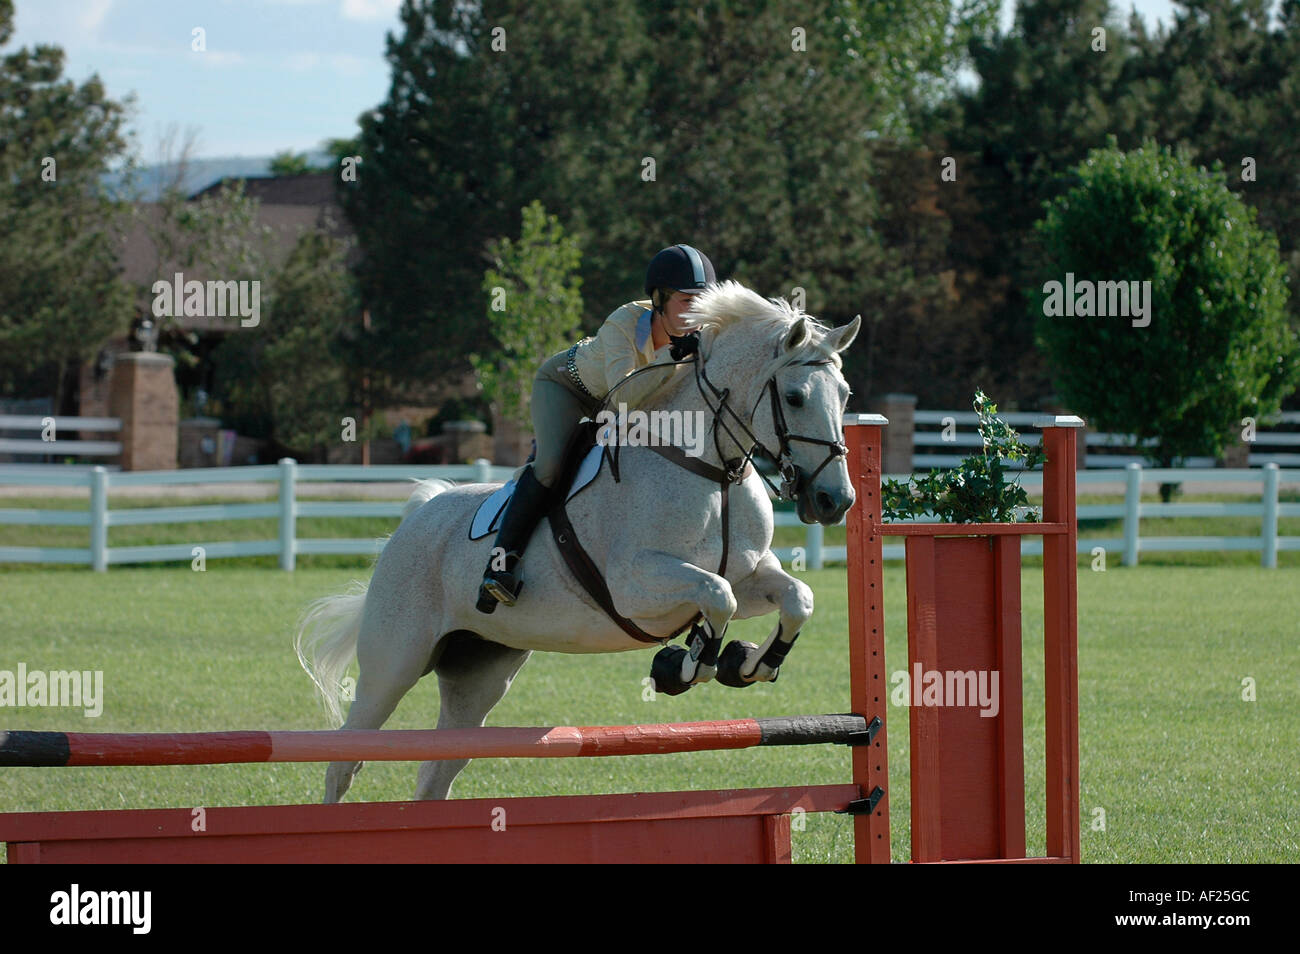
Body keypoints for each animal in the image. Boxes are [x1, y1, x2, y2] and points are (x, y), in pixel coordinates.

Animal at [295, 280, 860, 803]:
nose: (835, 500)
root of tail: (417, 516)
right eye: (795, 397)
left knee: (436, 769)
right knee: (344, 758)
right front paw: (681, 668)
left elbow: (796, 597)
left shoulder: (747, 574)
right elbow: (716, 597)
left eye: (845, 395)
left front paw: (747, 663)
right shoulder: (638, 589)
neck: (710, 468)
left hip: (479, 671)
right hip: (394, 664)